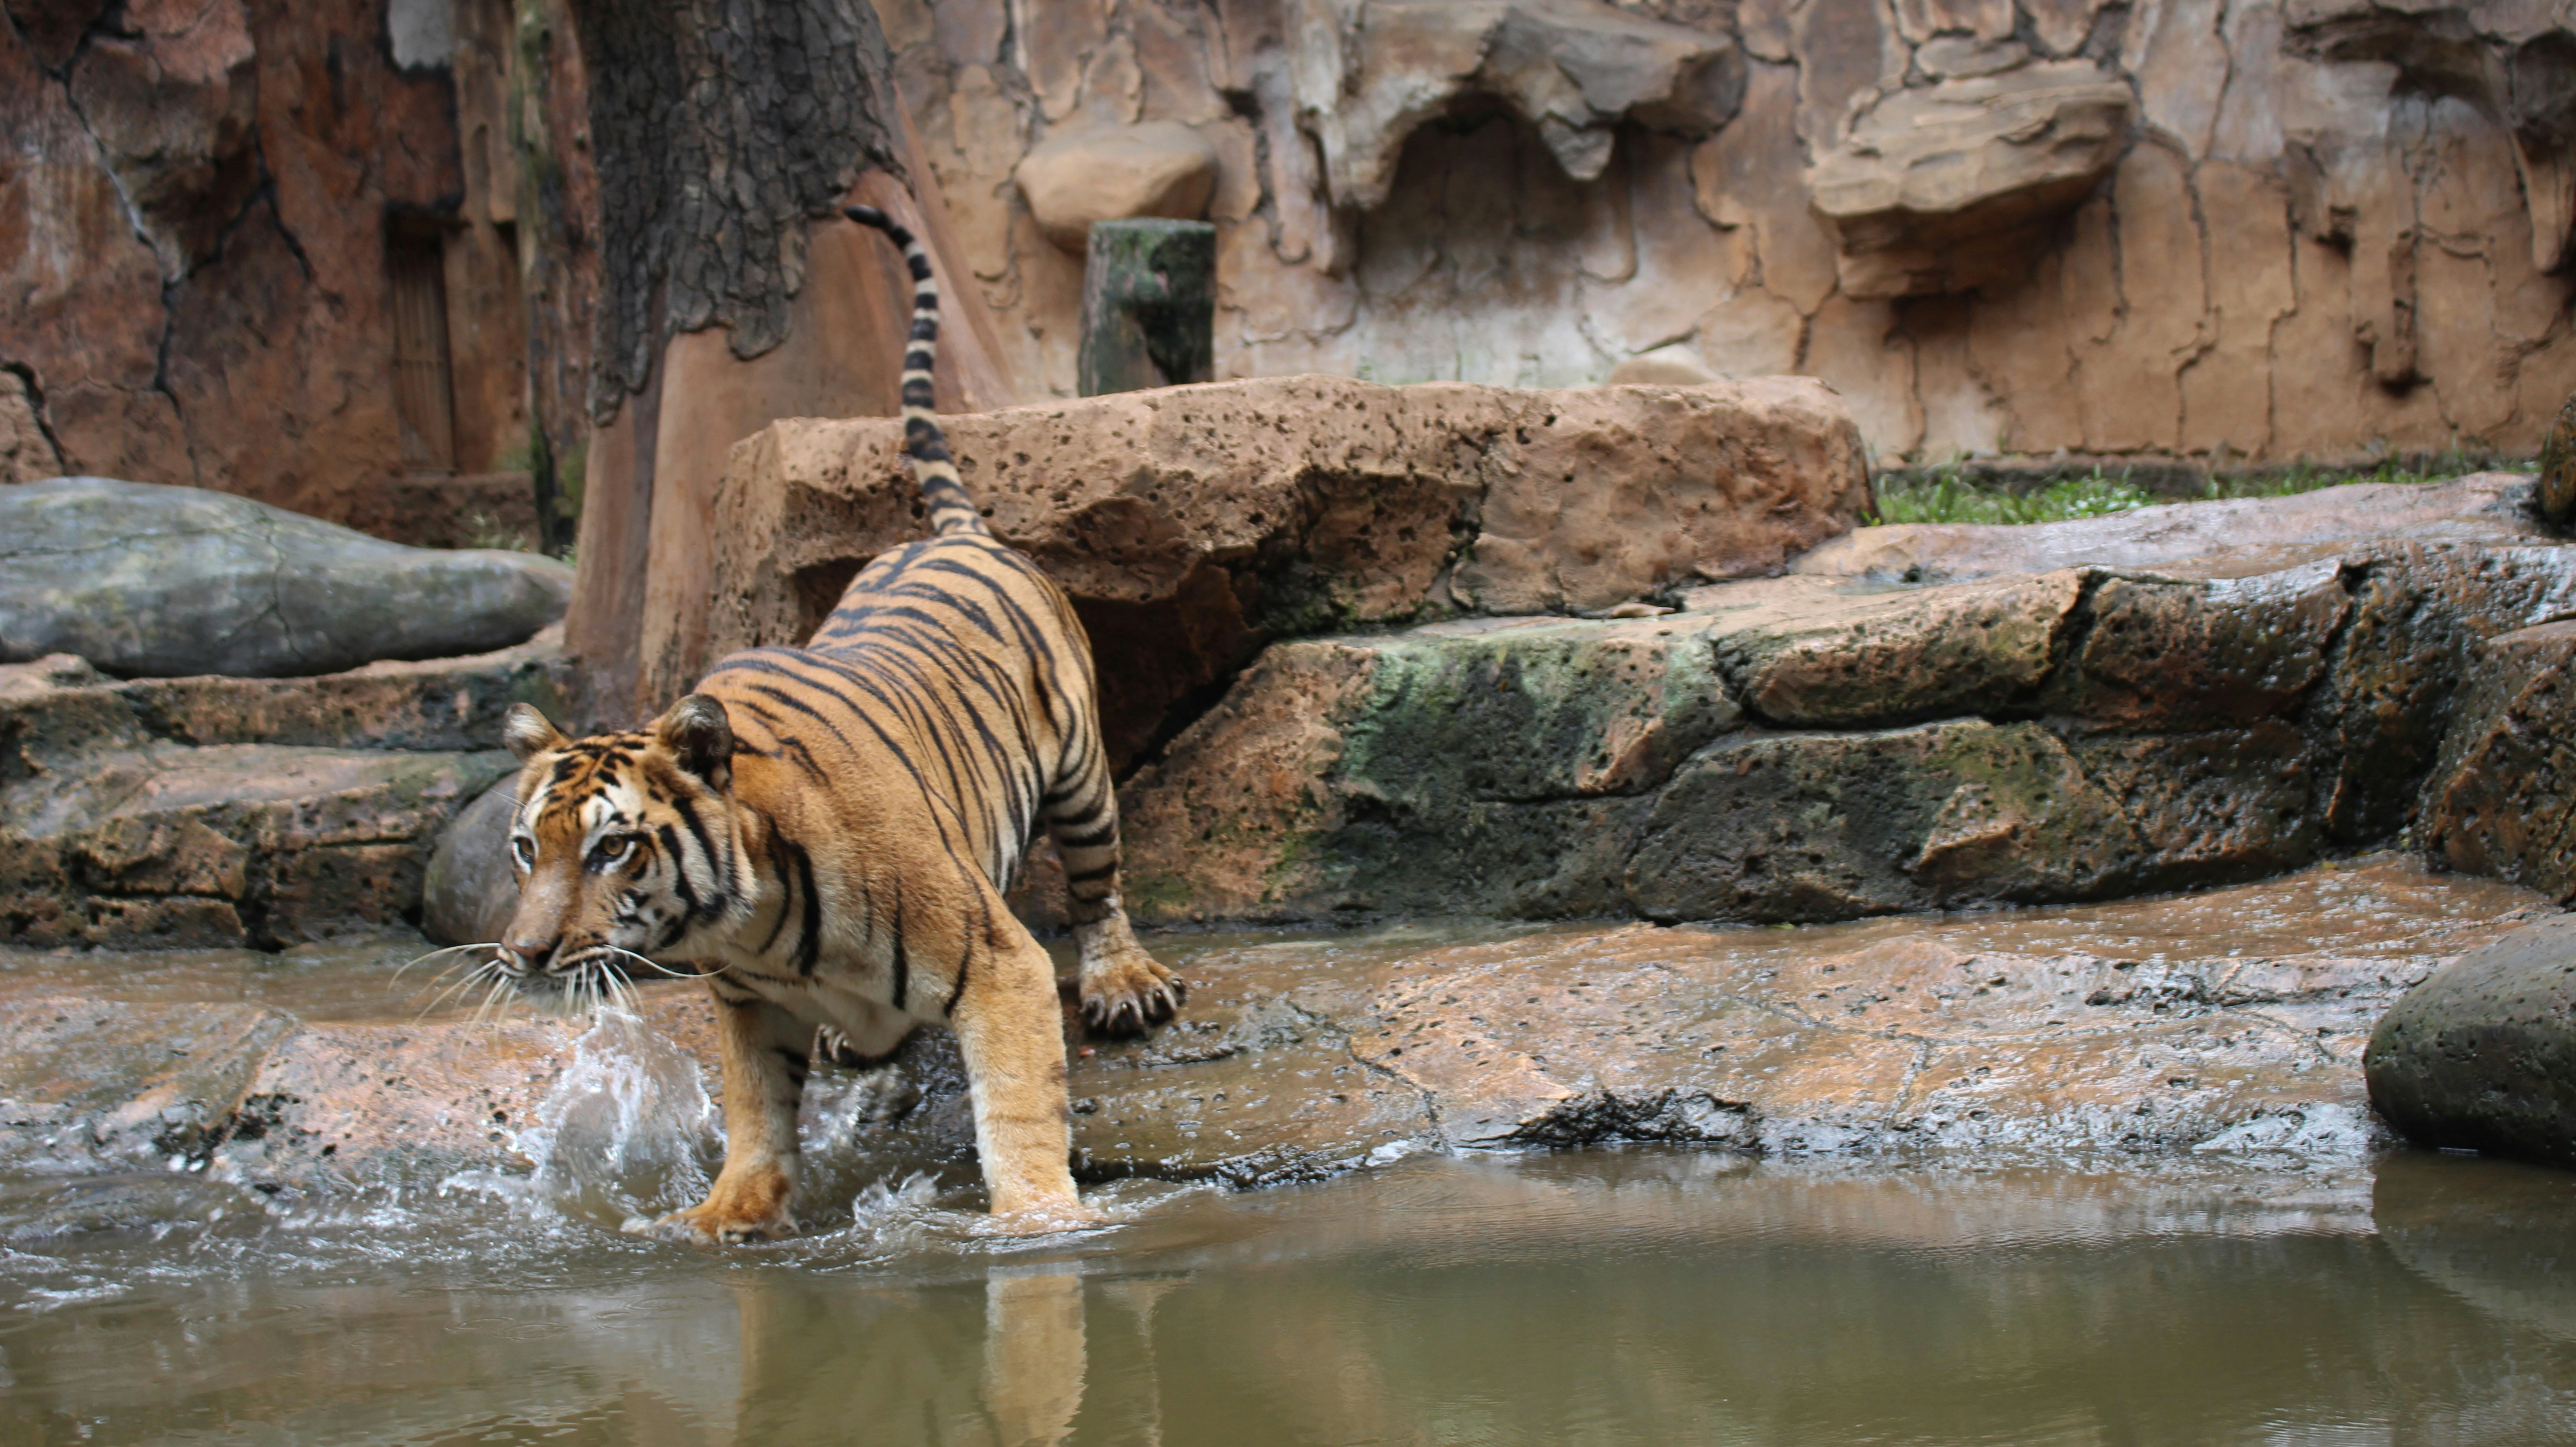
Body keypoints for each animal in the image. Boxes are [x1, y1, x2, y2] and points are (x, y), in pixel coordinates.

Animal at [488, 204, 1185, 1240]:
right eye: (527, 849)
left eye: (612, 849)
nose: (526, 955)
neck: (751, 925)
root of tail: (956, 536)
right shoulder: (744, 1000)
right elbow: (754, 1108)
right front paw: (724, 1213)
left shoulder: (996, 962)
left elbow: (1017, 1105)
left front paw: (1037, 1219)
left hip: (1080, 777)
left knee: (1098, 889)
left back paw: (1123, 983)